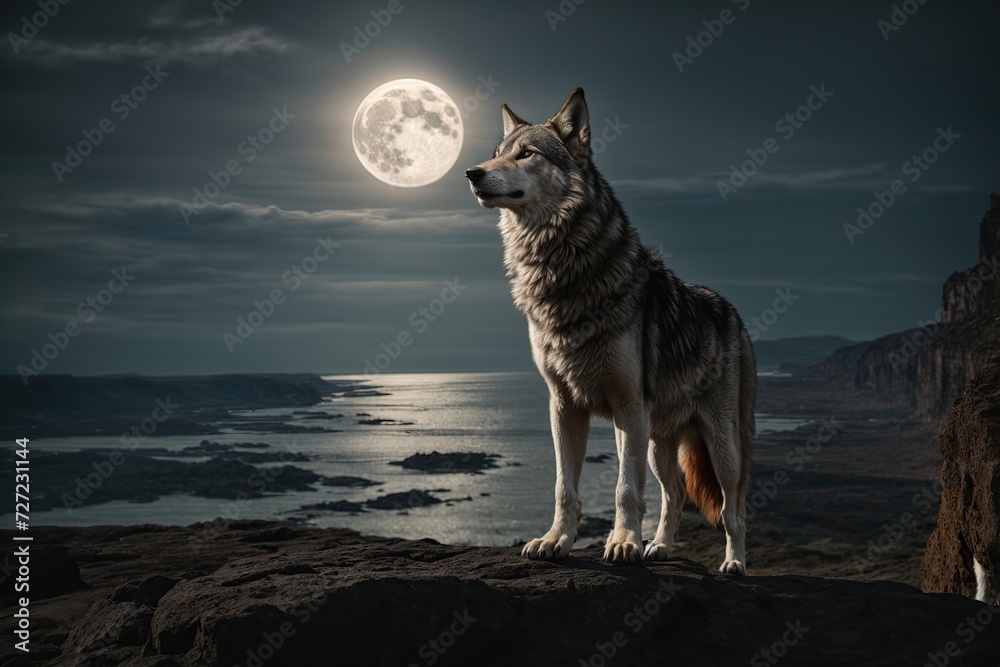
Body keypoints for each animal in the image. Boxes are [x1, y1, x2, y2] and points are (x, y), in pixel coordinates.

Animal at [466, 88, 757, 573]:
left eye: (526, 153)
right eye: (496, 153)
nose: (472, 172)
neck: (559, 268)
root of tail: (733, 312)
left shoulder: (627, 407)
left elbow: (624, 489)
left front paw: (622, 543)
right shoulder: (564, 406)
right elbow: (565, 487)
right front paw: (556, 541)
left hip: (720, 446)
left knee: (733, 507)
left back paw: (734, 563)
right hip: (659, 442)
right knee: (675, 492)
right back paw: (660, 547)